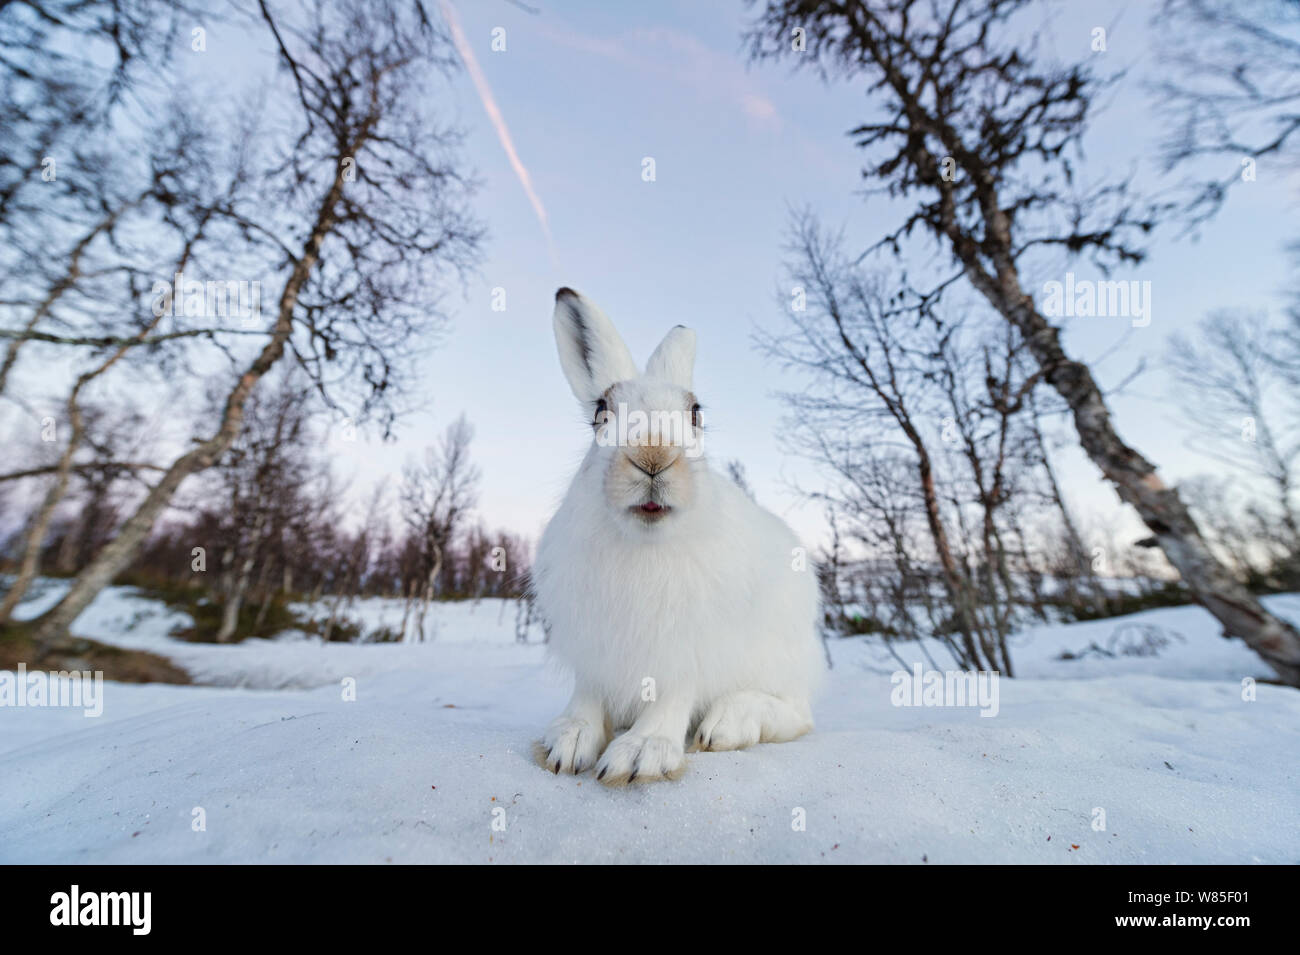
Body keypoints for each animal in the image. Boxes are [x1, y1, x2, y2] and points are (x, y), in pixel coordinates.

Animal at [531, 287, 823, 785]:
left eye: (695, 413)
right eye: (601, 411)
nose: (653, 455)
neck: (646, 544)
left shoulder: (686, 650)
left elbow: (672, 696)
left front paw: (640, 754)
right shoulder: (593, 644)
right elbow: (587, 695)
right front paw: (568, 742)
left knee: (798, 715)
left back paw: (728, 723)